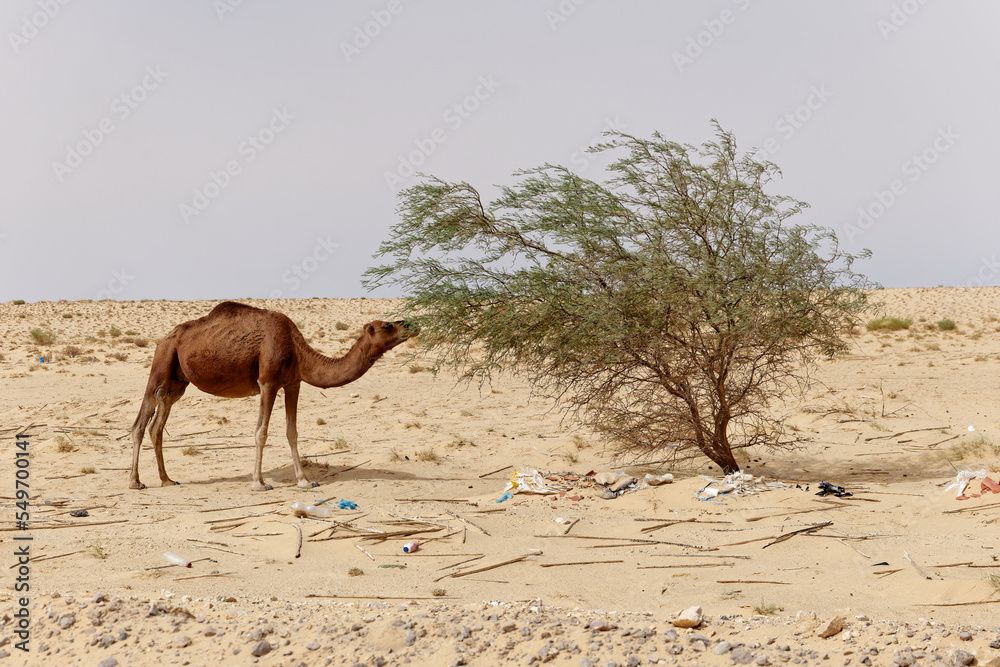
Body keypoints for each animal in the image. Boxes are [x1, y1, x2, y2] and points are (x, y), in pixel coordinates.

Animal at [128, 301, 412, 491]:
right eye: (388, 325)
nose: (411, 324)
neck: (297, 350)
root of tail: (164, 338)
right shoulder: (268, 382)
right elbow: (261, 432)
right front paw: (259, 483)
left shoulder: (293, 383)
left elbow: (292, 431)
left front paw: (304, 481)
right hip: (162, 362)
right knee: (140, 423)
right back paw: (135, 482)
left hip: (177, 382)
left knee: (157, 425)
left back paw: (167, 479)